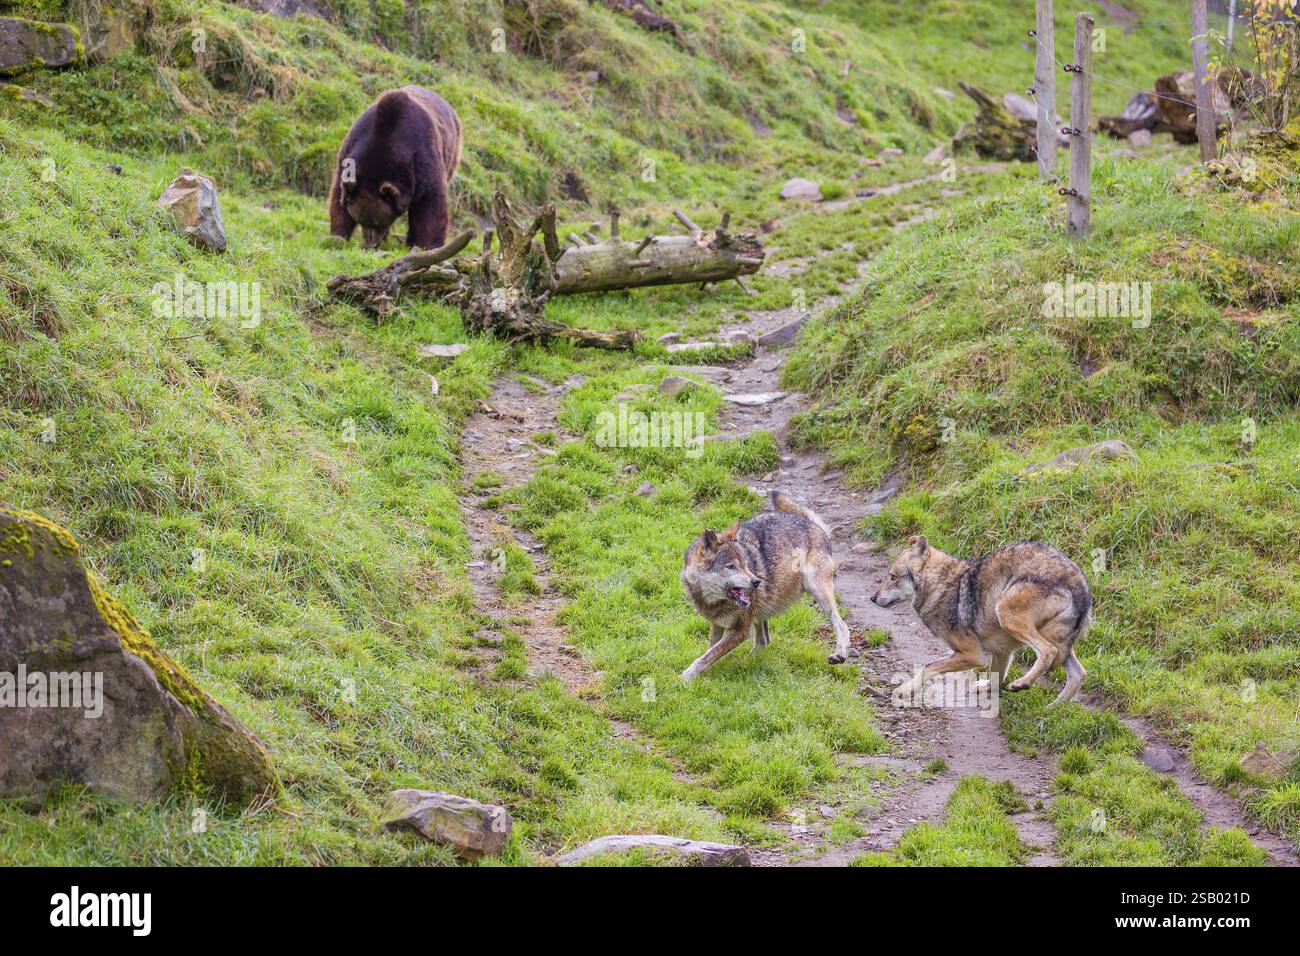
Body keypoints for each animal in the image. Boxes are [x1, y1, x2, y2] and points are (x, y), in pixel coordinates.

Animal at [680, 491, 852, 681]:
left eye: (745, 564)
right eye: (731, 566)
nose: (756, 582)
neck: (715, 602)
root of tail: (812, 523)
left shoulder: (740, 630)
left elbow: (707, 656)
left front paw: (684, 678)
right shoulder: (716, 623)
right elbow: (710, 651)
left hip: (818, 591)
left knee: (842, 625)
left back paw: (839, 655)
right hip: (762, 610)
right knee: (764, 641)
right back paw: (749, 662)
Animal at [871, 536, 1091, 706]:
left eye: (893, 577)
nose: (872, 598)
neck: (941, 585)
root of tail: (1079, 585)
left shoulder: (973, 654)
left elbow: (927, 667)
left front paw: (906, 689)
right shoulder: (1002, 651)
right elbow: (995, 679)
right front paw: (987, 688)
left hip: (1007, 614)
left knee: (1048, 651)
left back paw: (1022, 683)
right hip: (1057, 641)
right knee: (1079, 674)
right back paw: (1050, 711)